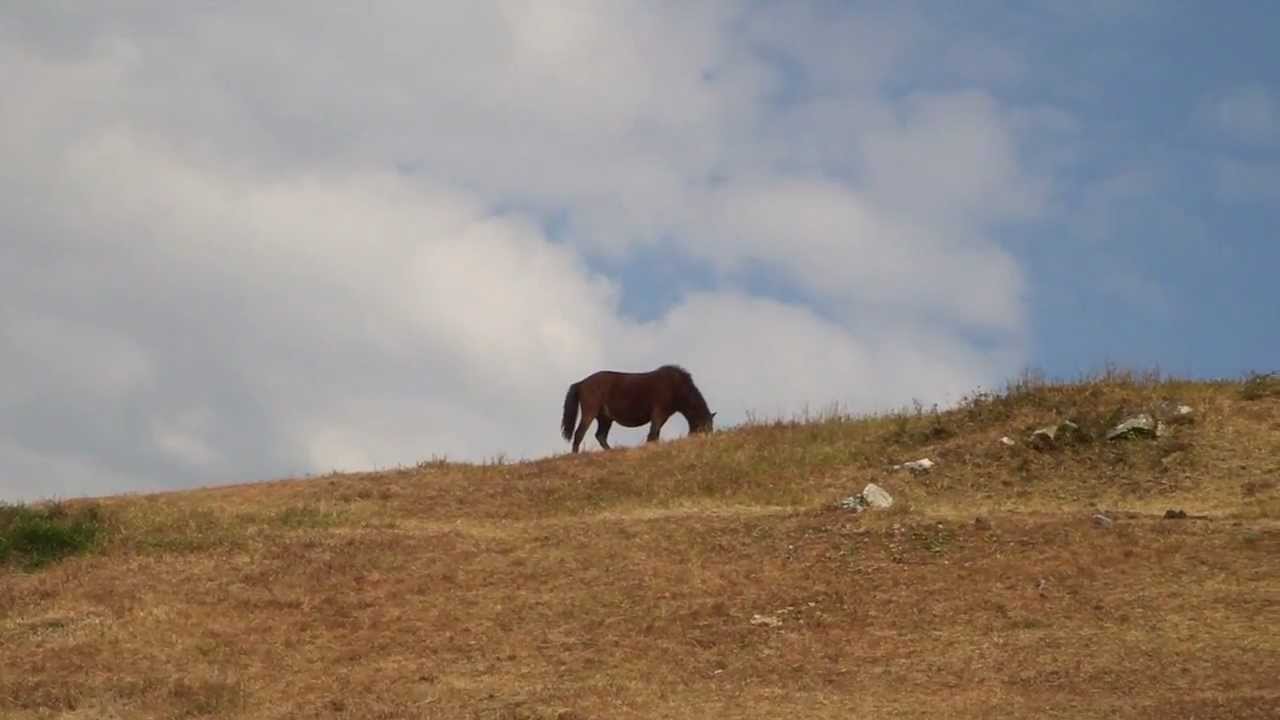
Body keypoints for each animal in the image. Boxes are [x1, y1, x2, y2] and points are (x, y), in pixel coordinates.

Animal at [560, 365, 716, 453]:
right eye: (705, 427)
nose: (706, 443)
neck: (675, 386)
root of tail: (581, 383)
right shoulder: (658, 413)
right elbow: (652, 434)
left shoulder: (663, 416)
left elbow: (656, 434)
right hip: (590, 413)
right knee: (579, 434)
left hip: (605, 418)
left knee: (600, 436)